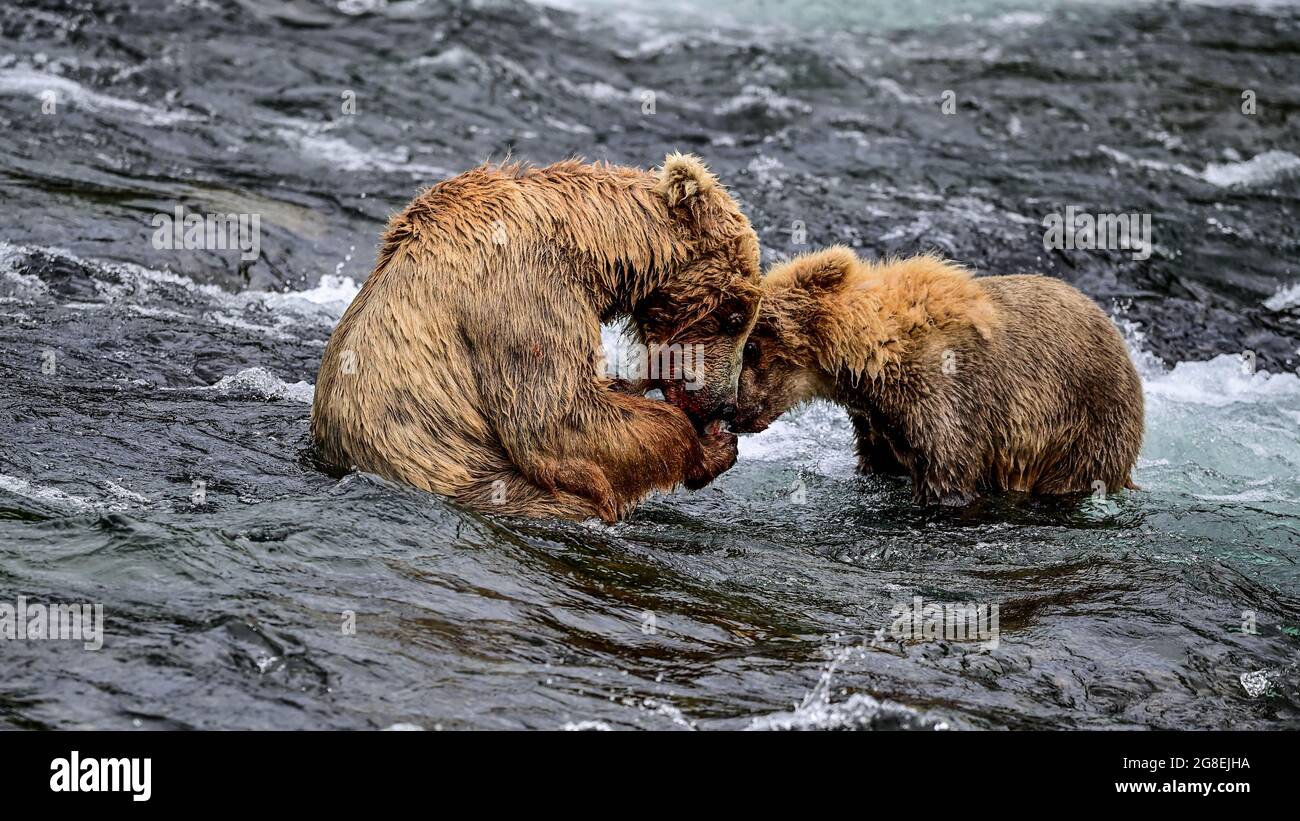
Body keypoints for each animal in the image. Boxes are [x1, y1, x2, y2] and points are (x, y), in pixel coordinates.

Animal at [311, 154, 762, 523]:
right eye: (735, 316)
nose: (726, 405)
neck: (593, 250)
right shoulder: (527, 289)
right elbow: (560, 416)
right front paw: (707, 447)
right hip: (483, 480)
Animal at [731, 247, 1145, 505]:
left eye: (750, 348)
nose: (730, 410)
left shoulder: (946, 397)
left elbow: (948, 472)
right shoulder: (878, 420)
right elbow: (878, 460)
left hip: (1085, 425)